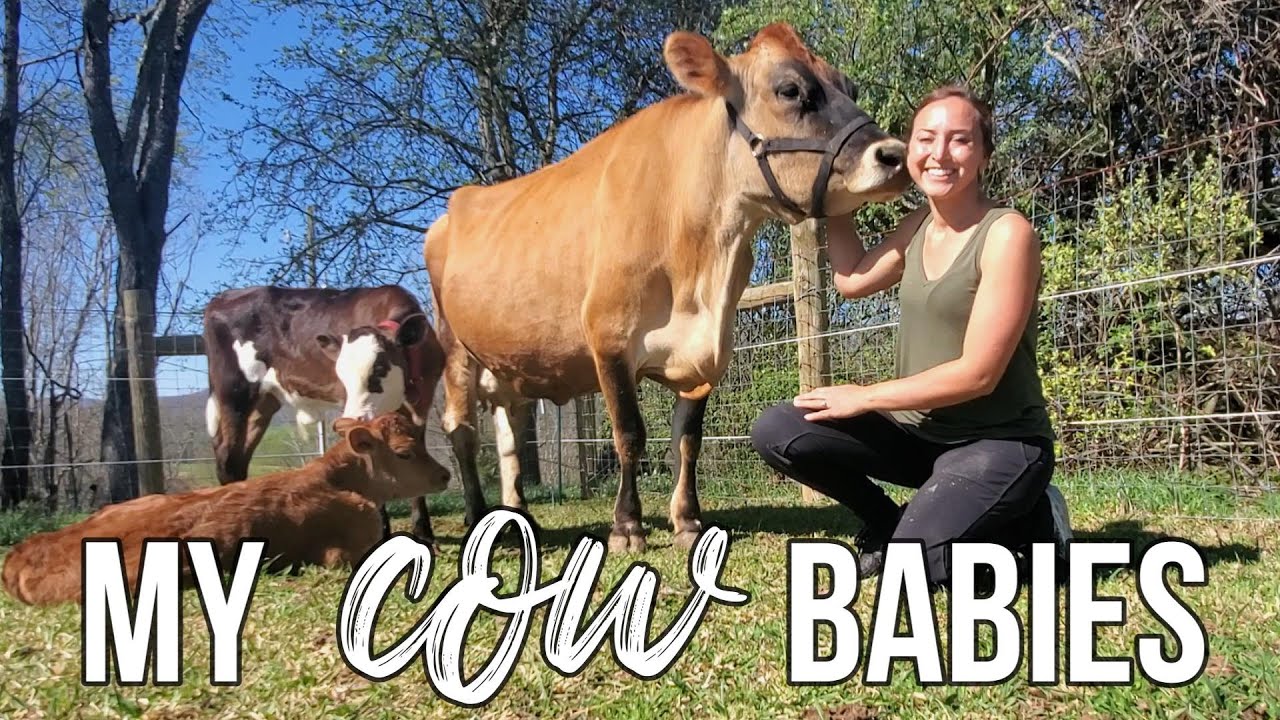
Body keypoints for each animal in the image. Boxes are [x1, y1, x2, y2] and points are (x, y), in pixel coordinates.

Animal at [202, 284, 446, 540]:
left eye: (379, 368)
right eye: (341, 375)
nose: (353, 418)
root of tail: (223, 298)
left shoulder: (421, 408)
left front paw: (424, 532)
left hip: (264, 401)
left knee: (239, 457)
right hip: (234, 392)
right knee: (228, 456)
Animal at [424, 23, 910, 552]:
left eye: (850, 87)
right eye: (790, 90)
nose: (895, 154)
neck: (703, 268)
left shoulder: (707, 353)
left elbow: (688, 440)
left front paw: (687, 521)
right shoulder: (608, 337)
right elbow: (629, 434)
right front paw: (627, 526)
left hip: (509, 361)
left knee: (510, 431)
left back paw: (515, 517)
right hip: (454, 348)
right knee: (462, 431)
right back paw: (477, 515)